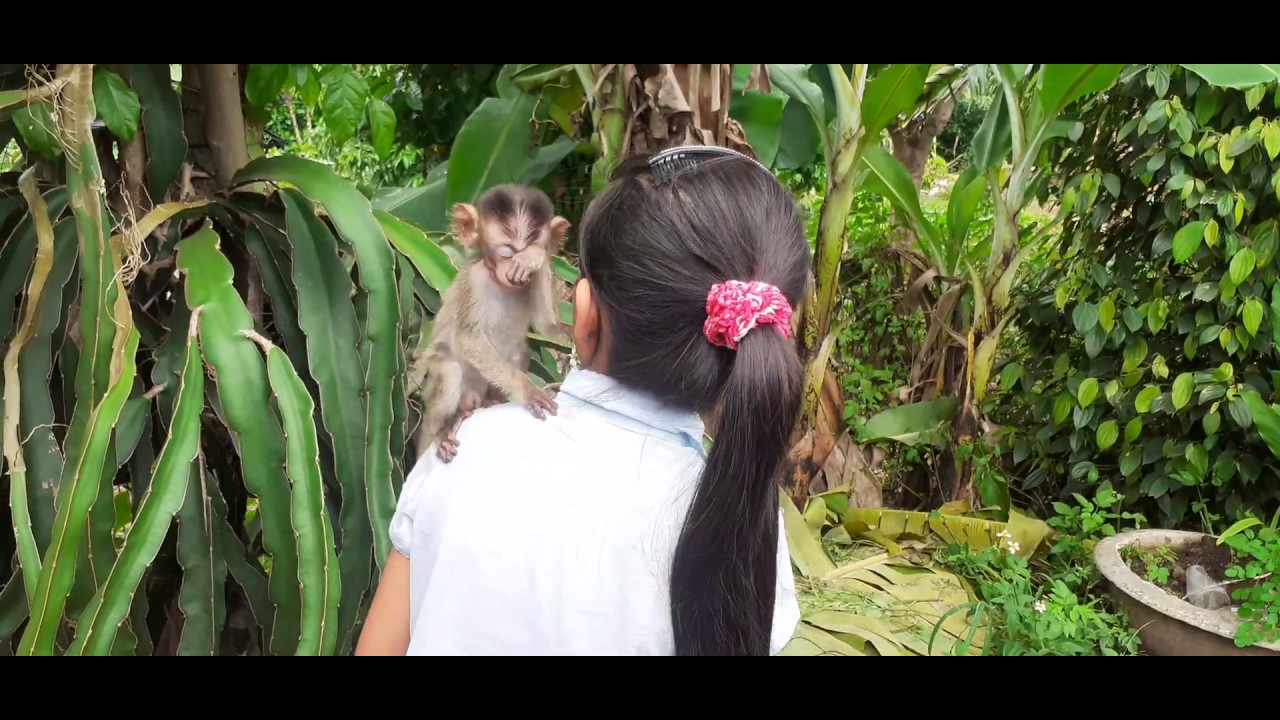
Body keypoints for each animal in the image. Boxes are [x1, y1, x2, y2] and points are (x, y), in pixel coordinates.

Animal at [414, 183, 570, 463]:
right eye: (506, 251)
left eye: (526, 248)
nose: (513, 273)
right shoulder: (473, 282)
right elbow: (470, 341)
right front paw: (528, 390)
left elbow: (547, 326)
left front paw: (535, 257)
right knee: (450, 371)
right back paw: (439, 432)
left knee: (519, 352)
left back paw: (491, 402)